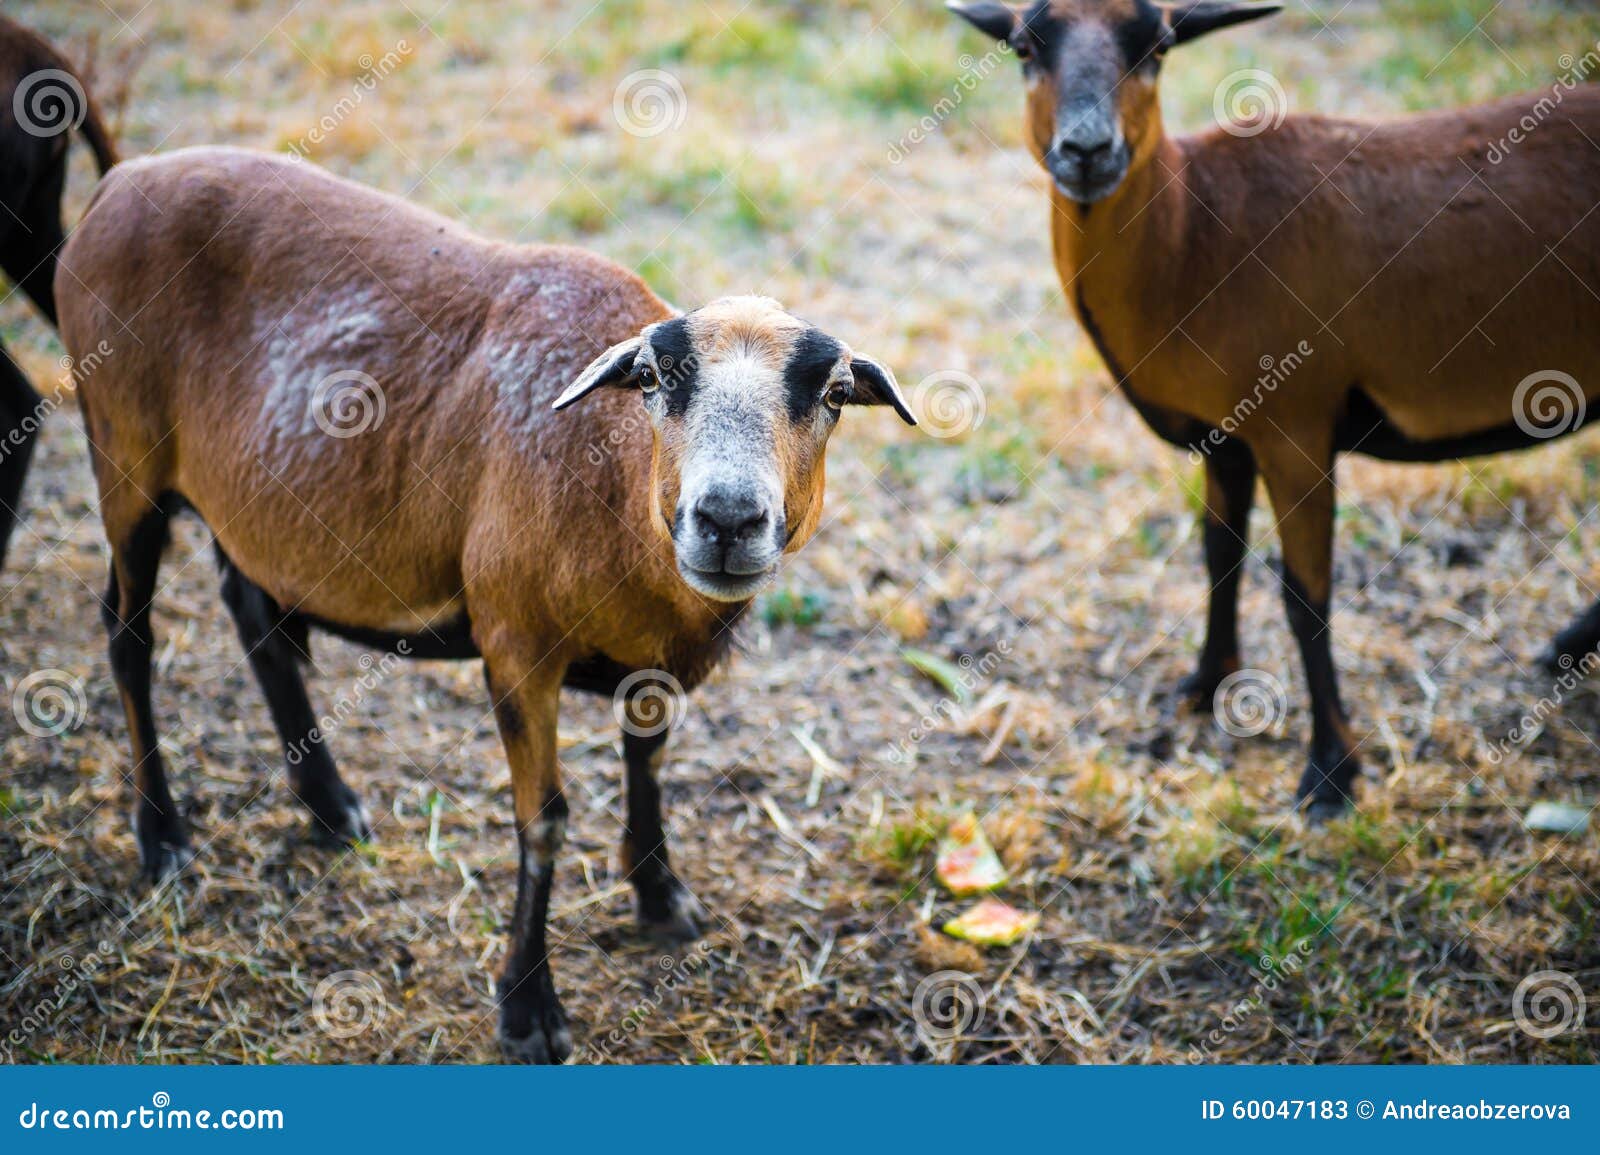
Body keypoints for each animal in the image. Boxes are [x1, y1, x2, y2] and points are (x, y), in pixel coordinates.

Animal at [55, 145, 915, 1062]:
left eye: (834, 393)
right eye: (649, 377)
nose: (725, 520)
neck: (613, 485)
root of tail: (119, 184)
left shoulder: (653, 658)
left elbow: (647, 763)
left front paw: (659, 896)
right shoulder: (515, 645)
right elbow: (542, 821)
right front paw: (529, 1007)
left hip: (249, 500)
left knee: (253, 613)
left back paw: (331, 806)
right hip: (123, 455)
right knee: (127, 634)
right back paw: (163, 837)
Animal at [949, 0, 1600, 817]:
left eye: (1156, 47)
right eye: (1025, 47)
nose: (1089, 149)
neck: (1192, 235)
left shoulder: (1297, 424)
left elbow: (1305, 597)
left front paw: (1330, 773)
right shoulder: (1224, 437)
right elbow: (1218, 555)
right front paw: (1204, 684)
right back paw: (1571, 645)